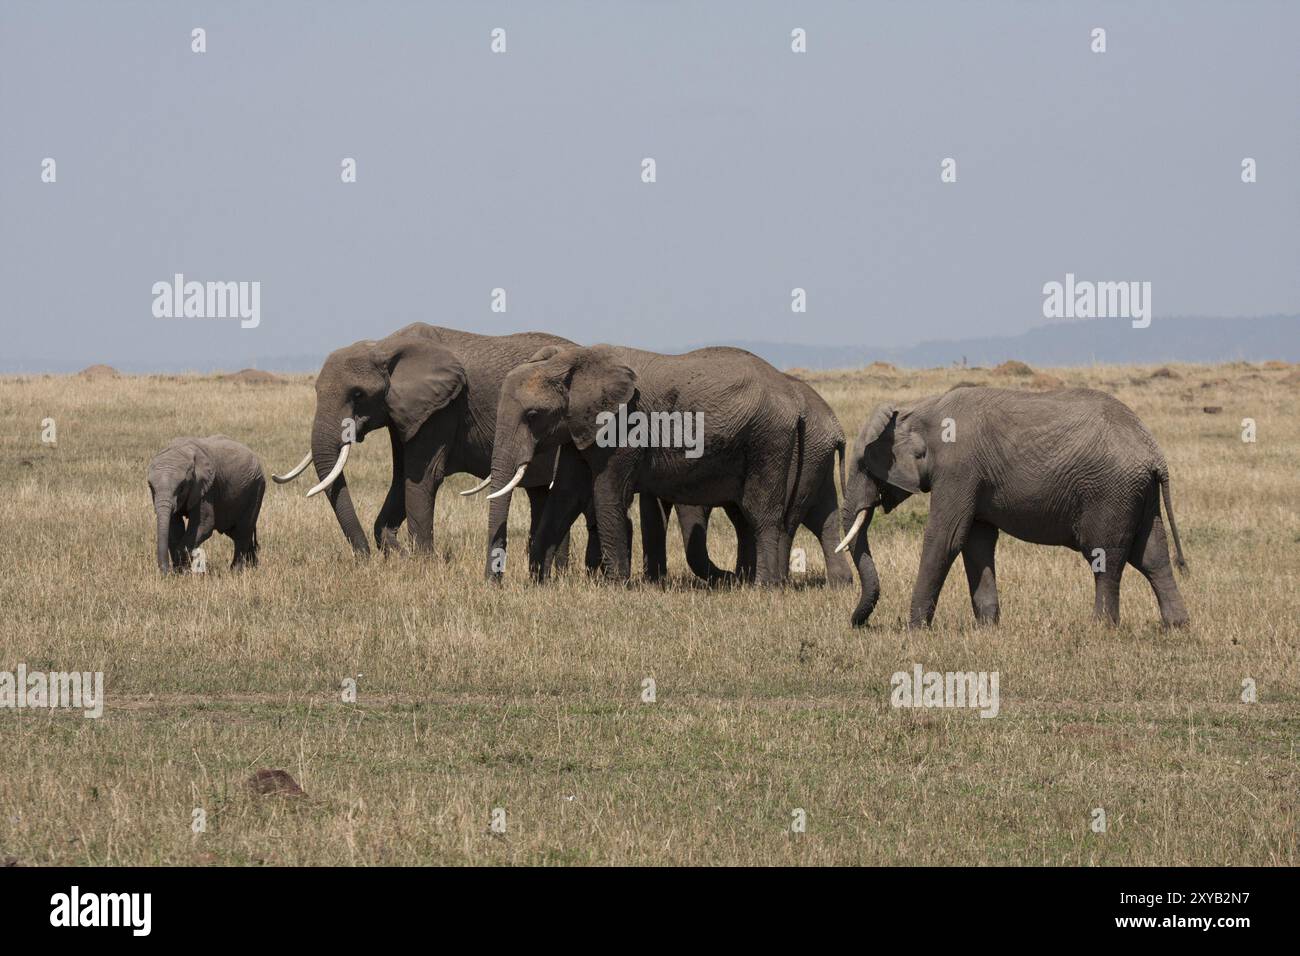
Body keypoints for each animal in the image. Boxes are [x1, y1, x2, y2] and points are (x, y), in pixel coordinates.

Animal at [147, 436, 265, 573]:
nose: (165, 573)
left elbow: (204, 525)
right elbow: (174, 526)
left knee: (243, 531)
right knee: (235, 532)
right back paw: (254, 567)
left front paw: (183, 571)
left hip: (255, 489)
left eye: (181, 488)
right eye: (151, 487)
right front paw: (180, 572)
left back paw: (236, 571)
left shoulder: (206, 488)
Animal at [273, 323, 597, 575]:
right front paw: (401, 555)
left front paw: (422, 566)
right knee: (540, 494)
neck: (384, 346)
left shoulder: (443, 409)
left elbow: (421, 479)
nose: (363, 560)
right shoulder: (404, 413)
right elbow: (400, 480)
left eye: (358, 394)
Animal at [483, 343, 811, 584]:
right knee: (745, 515)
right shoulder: (578, 428)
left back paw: (763, 586)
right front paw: (539, 582)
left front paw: (615, 586)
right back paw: (746, 581)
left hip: (768, 439)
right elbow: (566, 495)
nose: (494, 584)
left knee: (760, 512)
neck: (574, 360)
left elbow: (607, 494)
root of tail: (794, 399)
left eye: (533, 415)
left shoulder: (624, 425)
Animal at [836, 385, 1189, 628]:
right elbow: (976, 541)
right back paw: (1176, 627)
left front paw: (914, 630)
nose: (858, 624)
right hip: (1138, 494)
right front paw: (987, 628)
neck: (920, 409)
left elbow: (946, 539)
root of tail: (1154, 454)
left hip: (1111, 492)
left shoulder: (958, 469)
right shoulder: (972, 479)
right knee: (1152, 556)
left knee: (1106, 557)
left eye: (864, 466)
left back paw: (1102, 628)